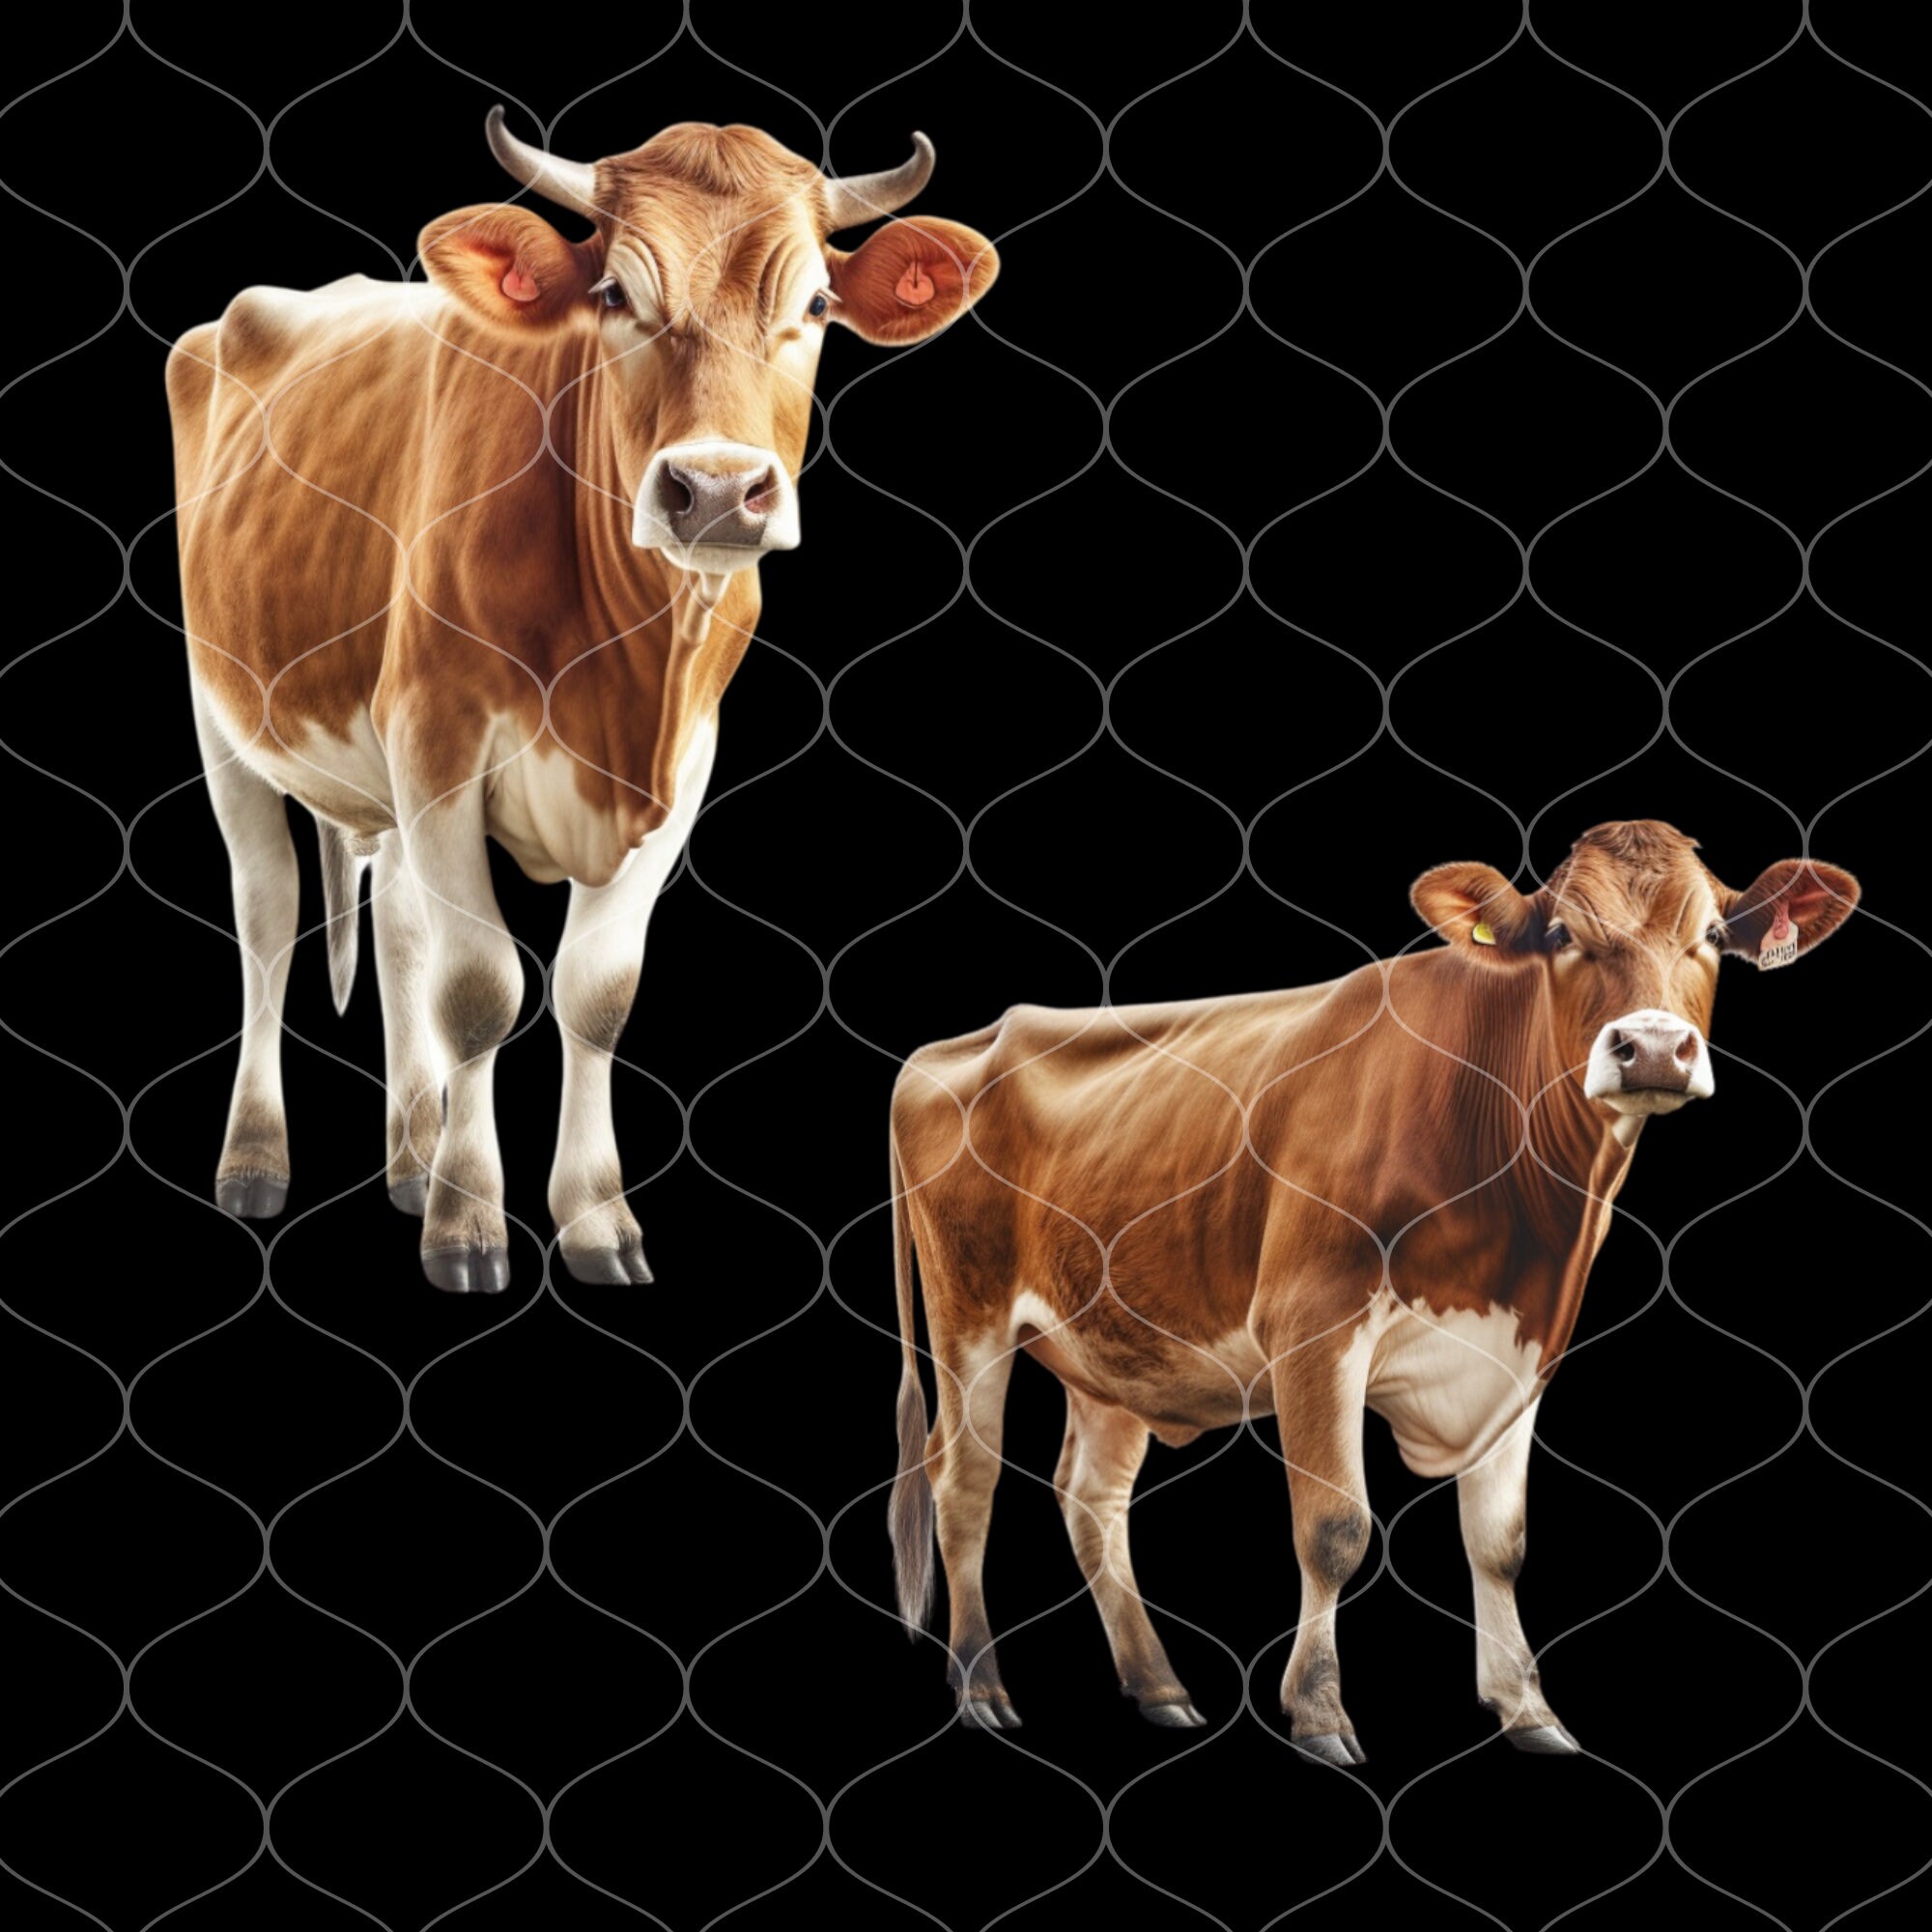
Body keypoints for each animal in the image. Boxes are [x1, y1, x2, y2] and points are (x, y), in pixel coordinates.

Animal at [168, 111, 997, 1292]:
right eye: (612, 293)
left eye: (814, 307)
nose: (714, 491)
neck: (625, 676)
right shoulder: (438, 741)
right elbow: (480, 989)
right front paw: (467, 1226)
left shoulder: (682, 770)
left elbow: (595, 994)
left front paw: (596, 1220)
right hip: (222, 709)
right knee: (268, 912)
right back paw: (257, 1163)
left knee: (399, 928)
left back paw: (412, 1158)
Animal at [886, 822, 1859, 1758]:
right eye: (1562, 937)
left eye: (1712, 938)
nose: (1653, 1047)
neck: (1523, 1233)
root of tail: (950, 1047)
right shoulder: (1313, 1325)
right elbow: (1334, 1528)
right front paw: (1319, 1711)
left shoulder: (1522, 1349)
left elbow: (1500, 1542)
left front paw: (1526, 1708)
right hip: (967, 1315)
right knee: (964, 1481)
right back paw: (981, 1689)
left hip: (1113, 1345)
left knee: (1090, 1497)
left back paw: (1159, 1688)